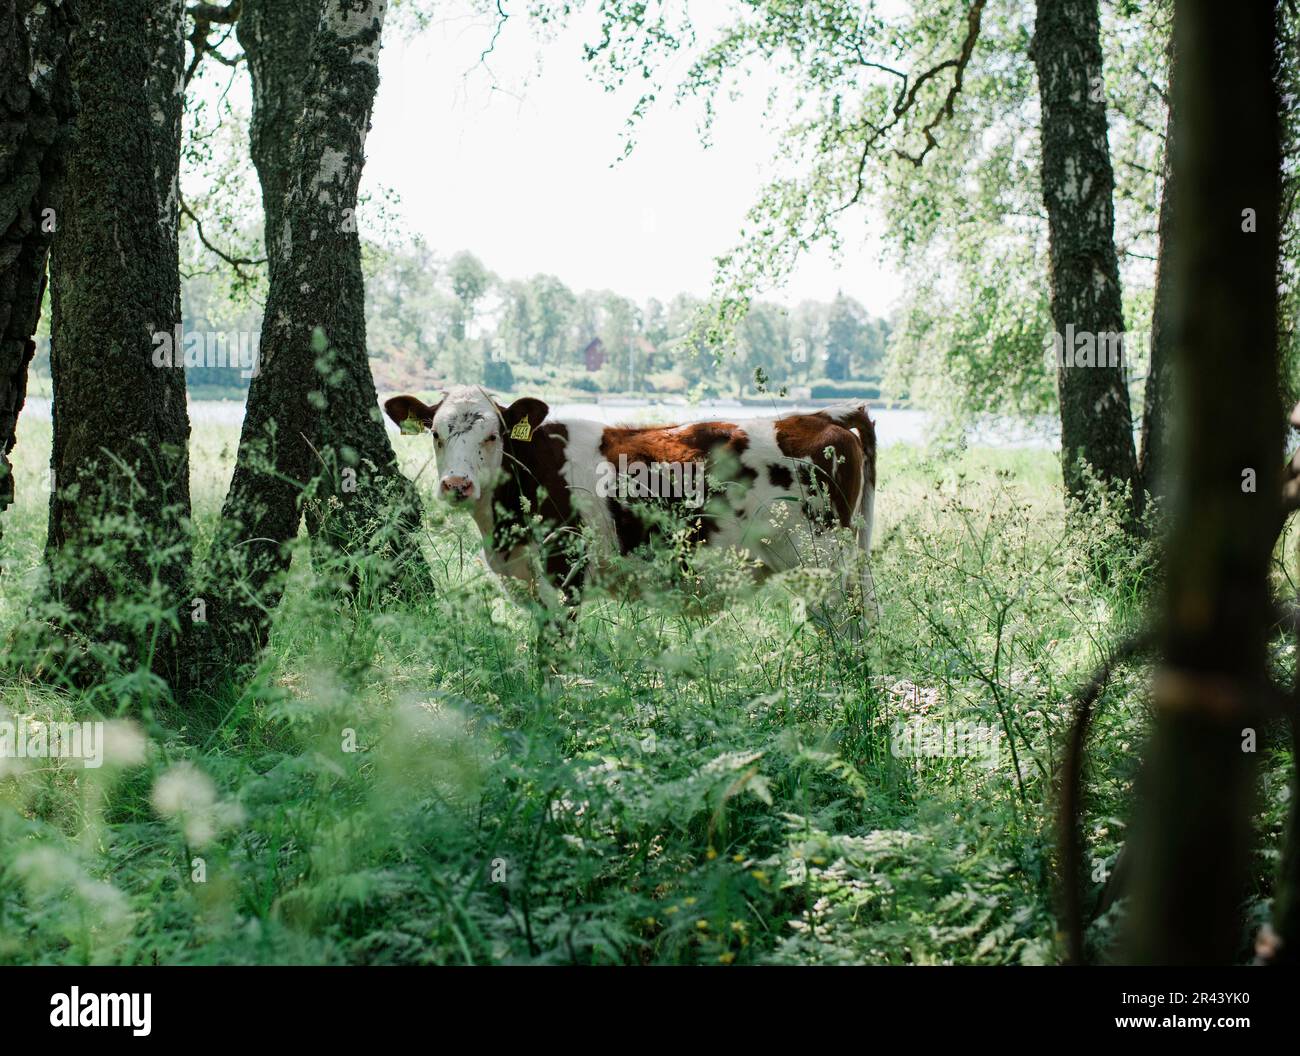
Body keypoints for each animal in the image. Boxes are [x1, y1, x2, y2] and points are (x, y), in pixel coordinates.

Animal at [384, 386, 877, 632]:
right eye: (435, 434)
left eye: (492, 435)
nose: (457, 484)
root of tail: (820, 416)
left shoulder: (564, 578)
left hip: (823, 567)